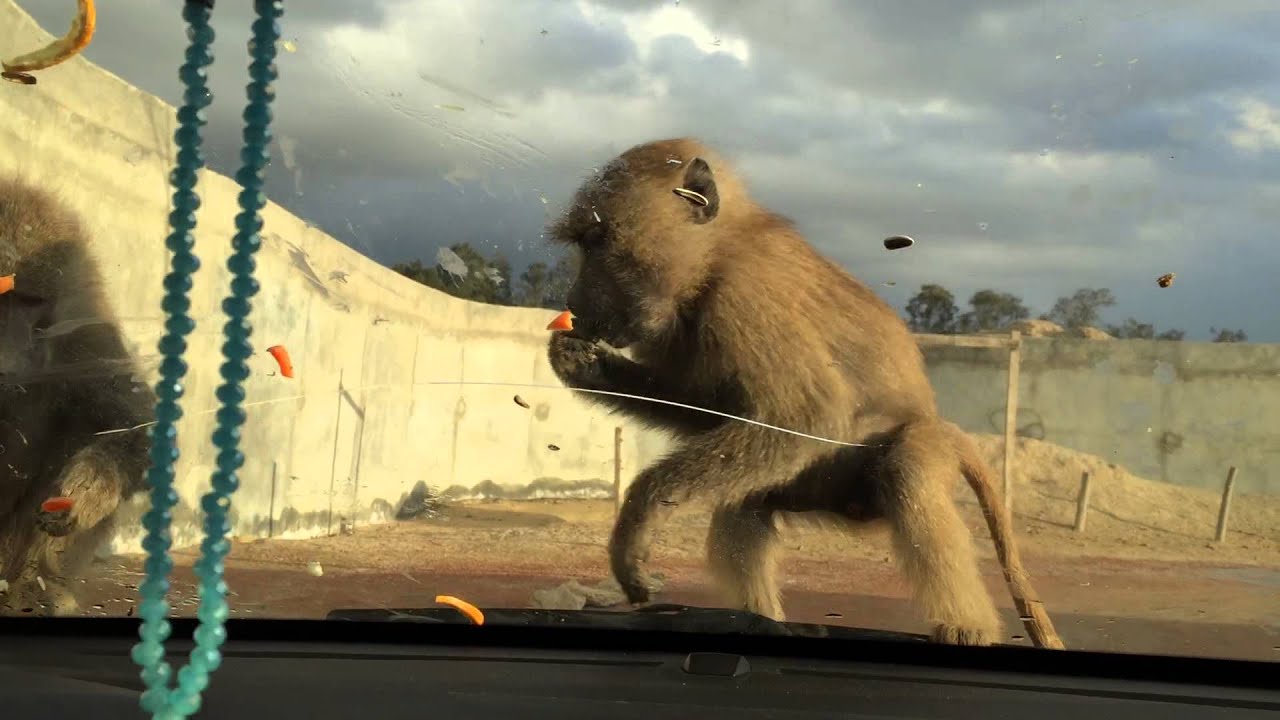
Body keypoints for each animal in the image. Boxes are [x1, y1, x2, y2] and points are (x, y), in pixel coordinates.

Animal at [0, 177, 155, 616]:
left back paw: (36, 590)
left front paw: (83, 493)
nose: (8, 364)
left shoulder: (86, 340)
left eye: (29, 300)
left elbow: (132, 427)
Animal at [544, 138, 1064, 649]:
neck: (715, 255)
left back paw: (967, 628)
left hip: (907, 454)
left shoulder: (747, 297)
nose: (572, 302)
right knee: (743, 502)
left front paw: (638, 522)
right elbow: (720, 414)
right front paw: (583, 362)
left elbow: (807, 415)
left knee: (909, 472)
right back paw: (757, 618)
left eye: (596, 241)